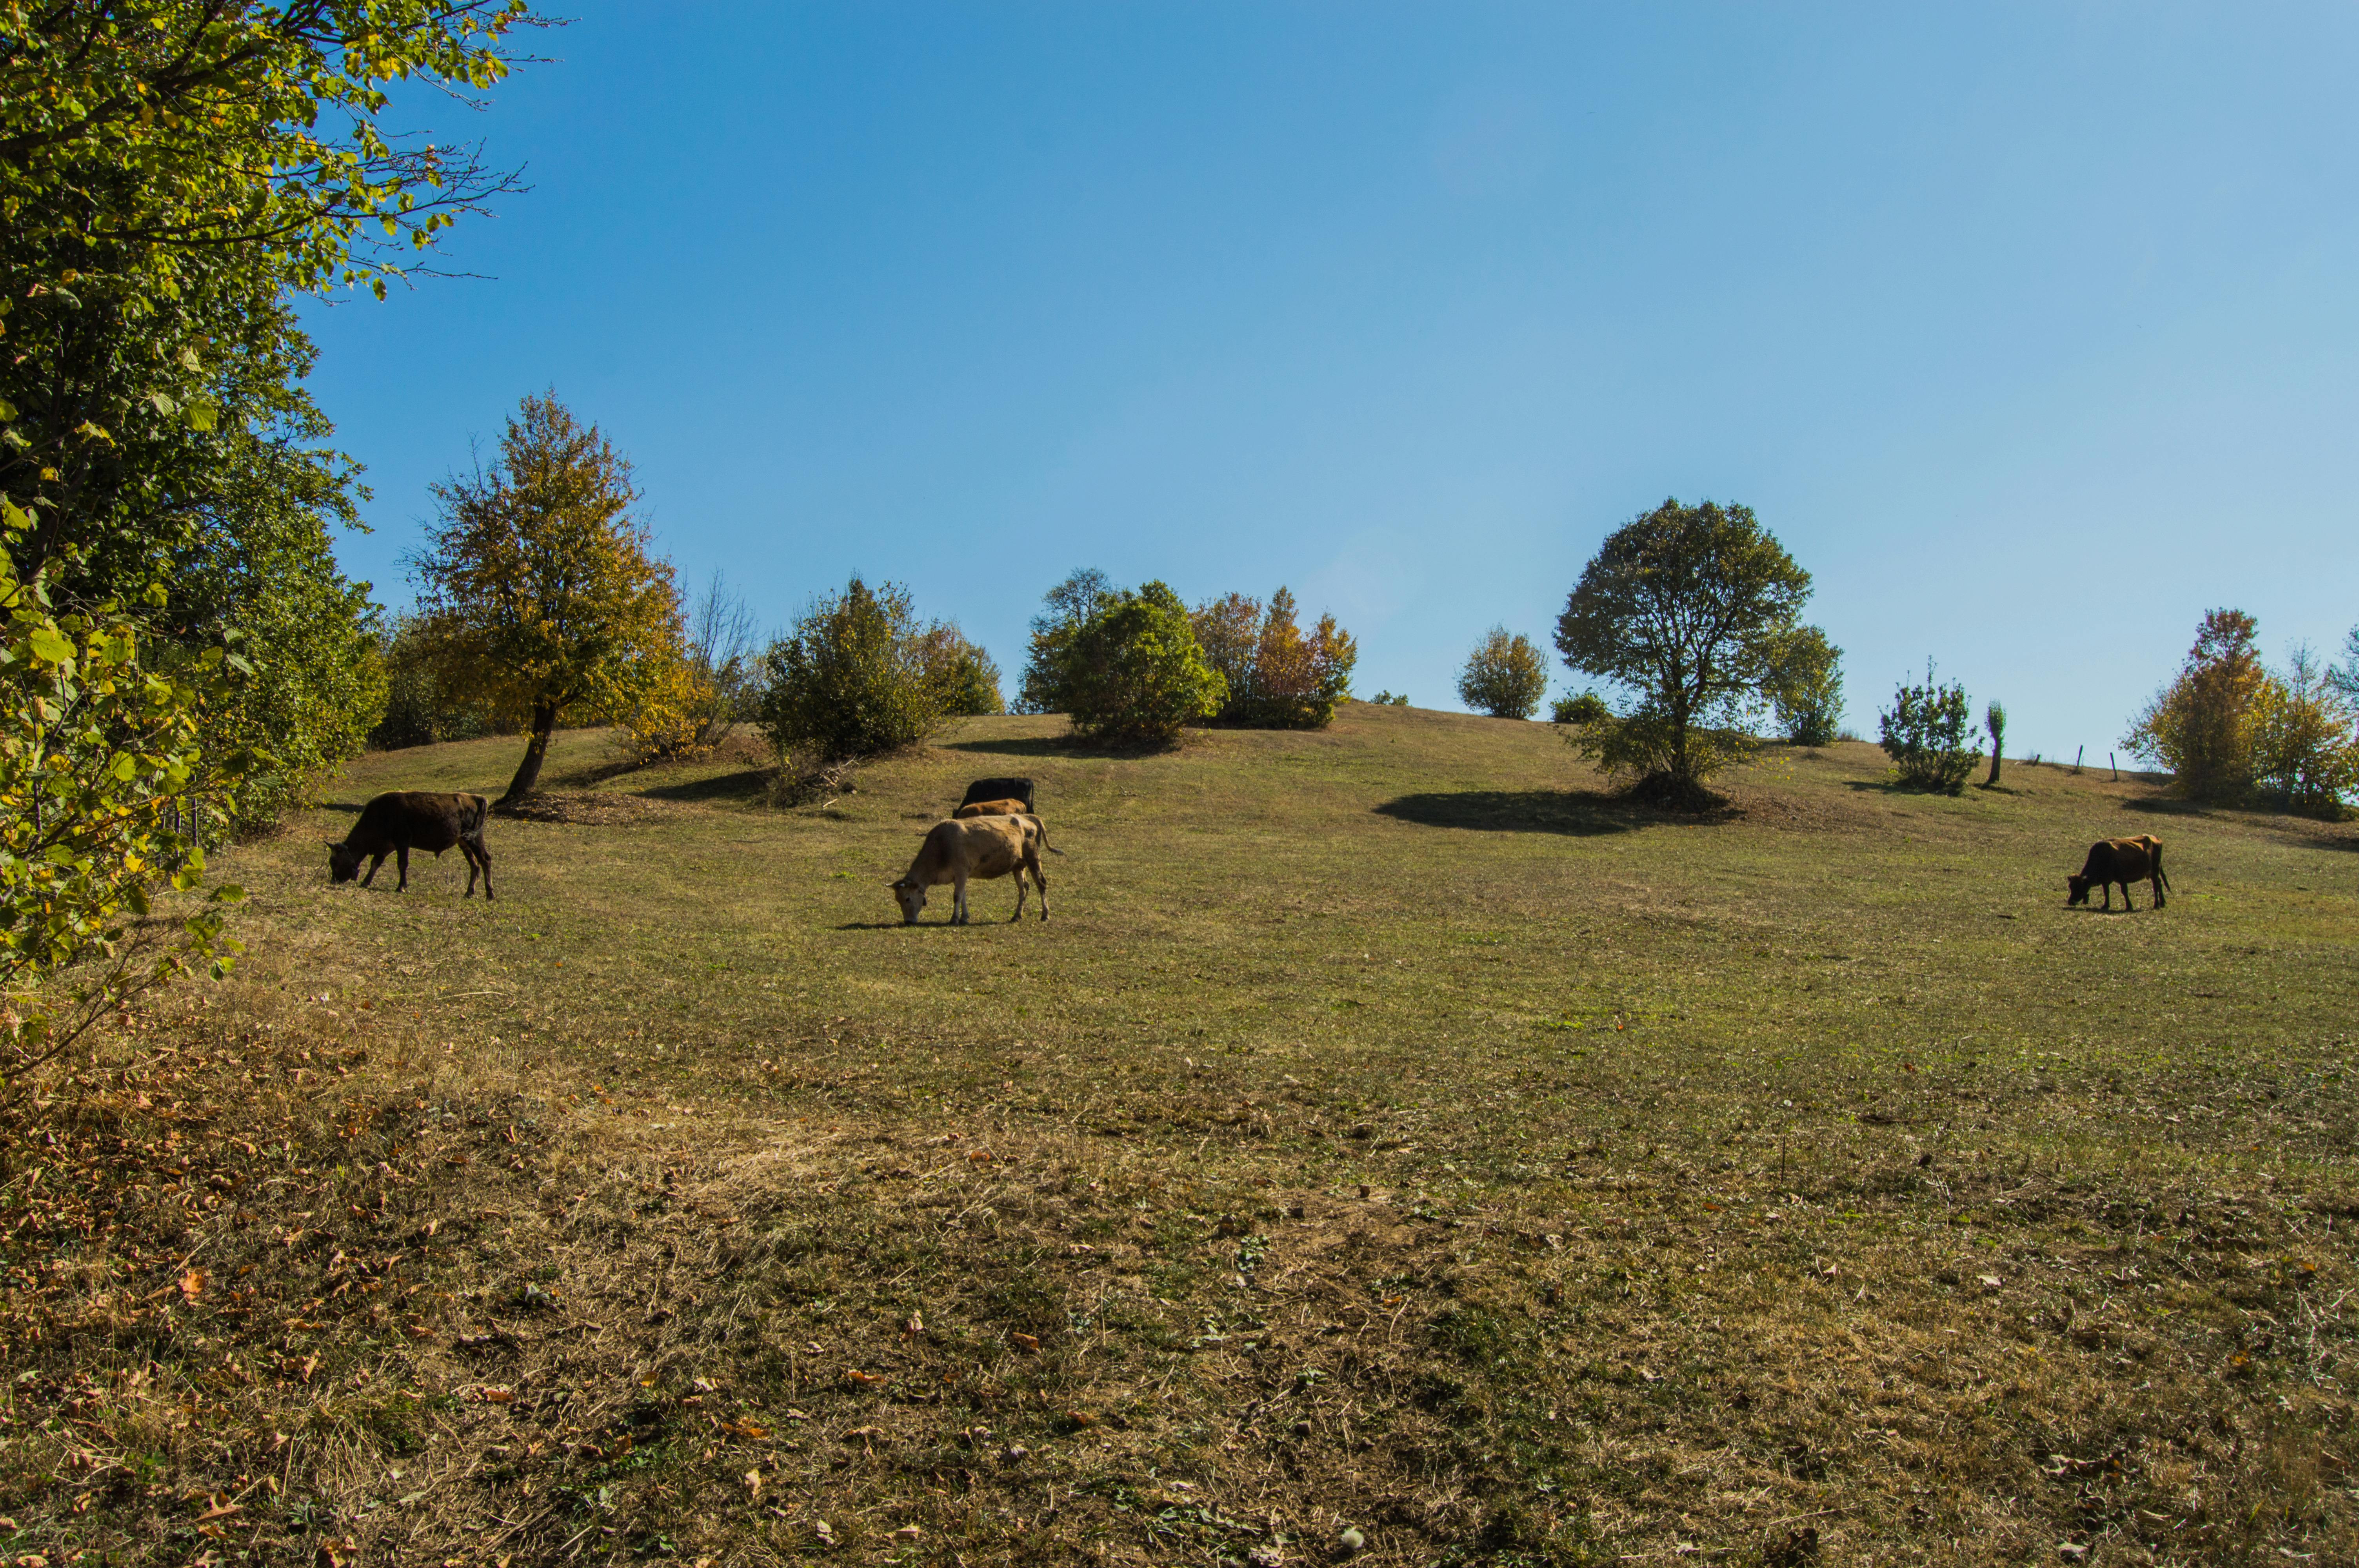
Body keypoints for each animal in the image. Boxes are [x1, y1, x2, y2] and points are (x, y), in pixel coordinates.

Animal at [329, 791, 495, 899]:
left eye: (334, 861)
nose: (334, 881)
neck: (381, 814)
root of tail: (474, 797)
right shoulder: (387, 847)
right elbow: (375, 863)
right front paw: (366, 882)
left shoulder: (402, 842)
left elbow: (402, 864)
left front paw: (401, 887)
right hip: (464, 844)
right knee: (475, 866)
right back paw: (469, 892)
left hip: (474, 840)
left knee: (485, 860)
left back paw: (490, 894)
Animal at [888, 815, 1051, 925]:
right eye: (897, 899)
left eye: (908, 898)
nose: (908, 922)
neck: (942, 846)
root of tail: (1027, 817)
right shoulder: (961, 876)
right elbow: (963, 896)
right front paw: (964, 918)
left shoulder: (961, 871)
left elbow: (957, 897)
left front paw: (954, 919)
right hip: (1018, 866)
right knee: (1023, 888)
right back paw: (1017, 916)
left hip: (1033, 859)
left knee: (1041, 884)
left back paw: (1045, 915)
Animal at [2066, 834, 2168, 912]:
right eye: (2071, 887)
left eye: (2080, 887)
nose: (2071, 902)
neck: (2103, 858)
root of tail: (2155, 838)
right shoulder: (2105, 881)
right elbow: (2106, 892)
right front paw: (2106, 905)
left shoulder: (2122, 878)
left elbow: (2124, 892)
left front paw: (2129, 906)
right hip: (2153, 873)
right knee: (2159, 883)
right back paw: (2163, 903)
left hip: (2155, 871)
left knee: (2156, 886)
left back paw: (2157, 905)